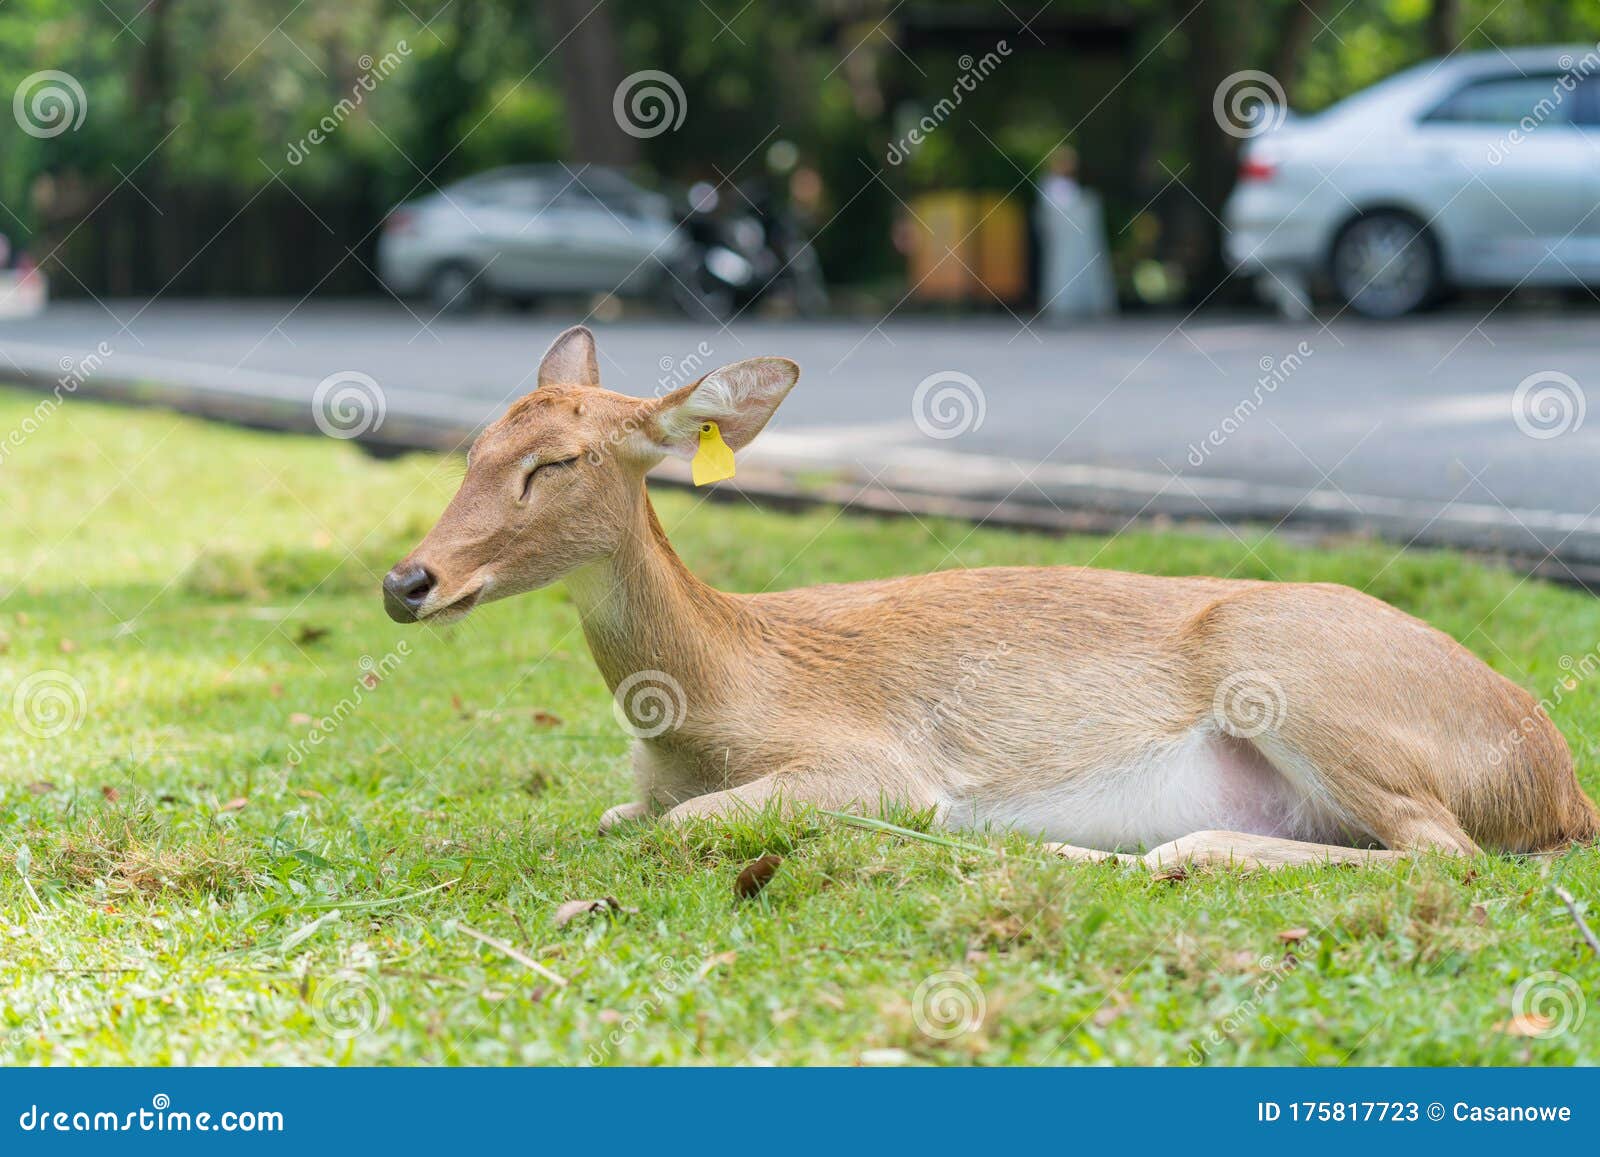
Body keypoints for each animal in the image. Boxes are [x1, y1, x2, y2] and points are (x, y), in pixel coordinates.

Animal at [382, 325, 1599, 870]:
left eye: (557, 462)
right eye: (475, 445)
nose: (405, 579)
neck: (720, 691)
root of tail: (1558, 784)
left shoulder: (873, 761)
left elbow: (684, 825)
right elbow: (621, 813)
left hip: (1299, 671)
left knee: (1443, 848)